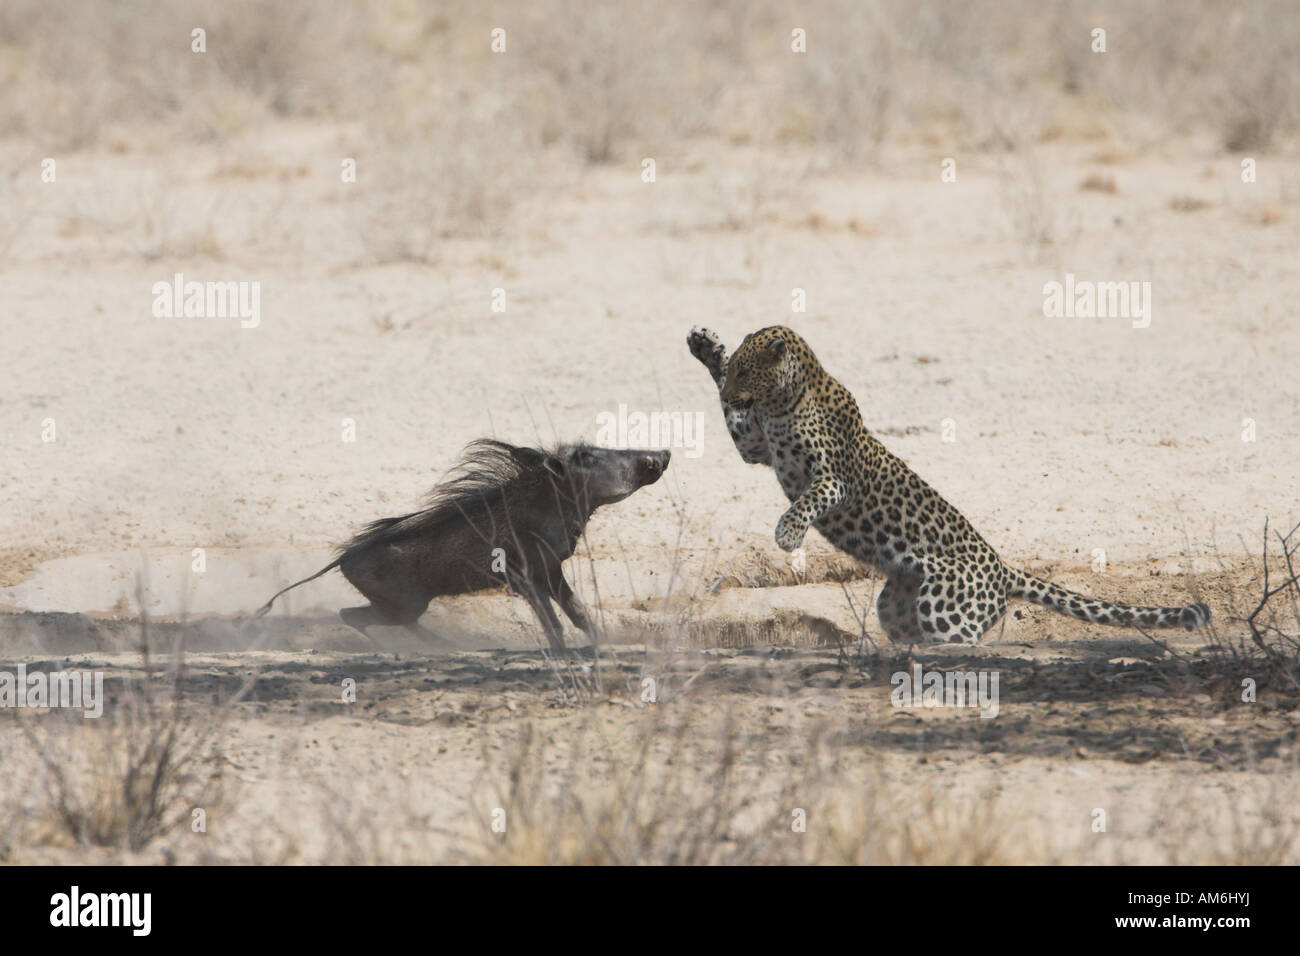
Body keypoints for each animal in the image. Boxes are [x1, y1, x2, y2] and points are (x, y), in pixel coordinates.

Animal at [688, 324, 1210, 645]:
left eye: (748, 370)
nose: (733, 387)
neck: (785, 399)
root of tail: (1002, 567)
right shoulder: (755, 446)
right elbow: (732, 417)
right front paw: (706, 348)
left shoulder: (832, 477)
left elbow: (809, 499)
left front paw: (788, 534)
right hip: (896, 602)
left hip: (946, 604)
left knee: (962, 638)